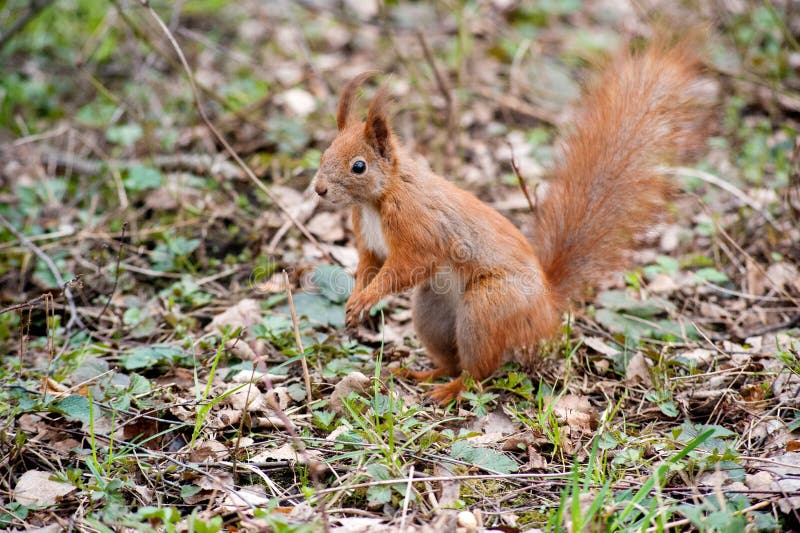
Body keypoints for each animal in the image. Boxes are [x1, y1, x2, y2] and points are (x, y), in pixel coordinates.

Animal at [312, 37, 711, 404]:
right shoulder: (369, 239)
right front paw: (355, 299)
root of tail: (547, 307)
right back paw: (425, 374)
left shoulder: (417, 227)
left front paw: (367, 298)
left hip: (487, 308)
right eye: (326, 152)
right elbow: (369, 264)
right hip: (433, 309)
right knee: (452, 360)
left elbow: (407, 265)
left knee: (478, 372)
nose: (319, 189)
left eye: (359, 166)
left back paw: (451, 390)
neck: (375, 201)